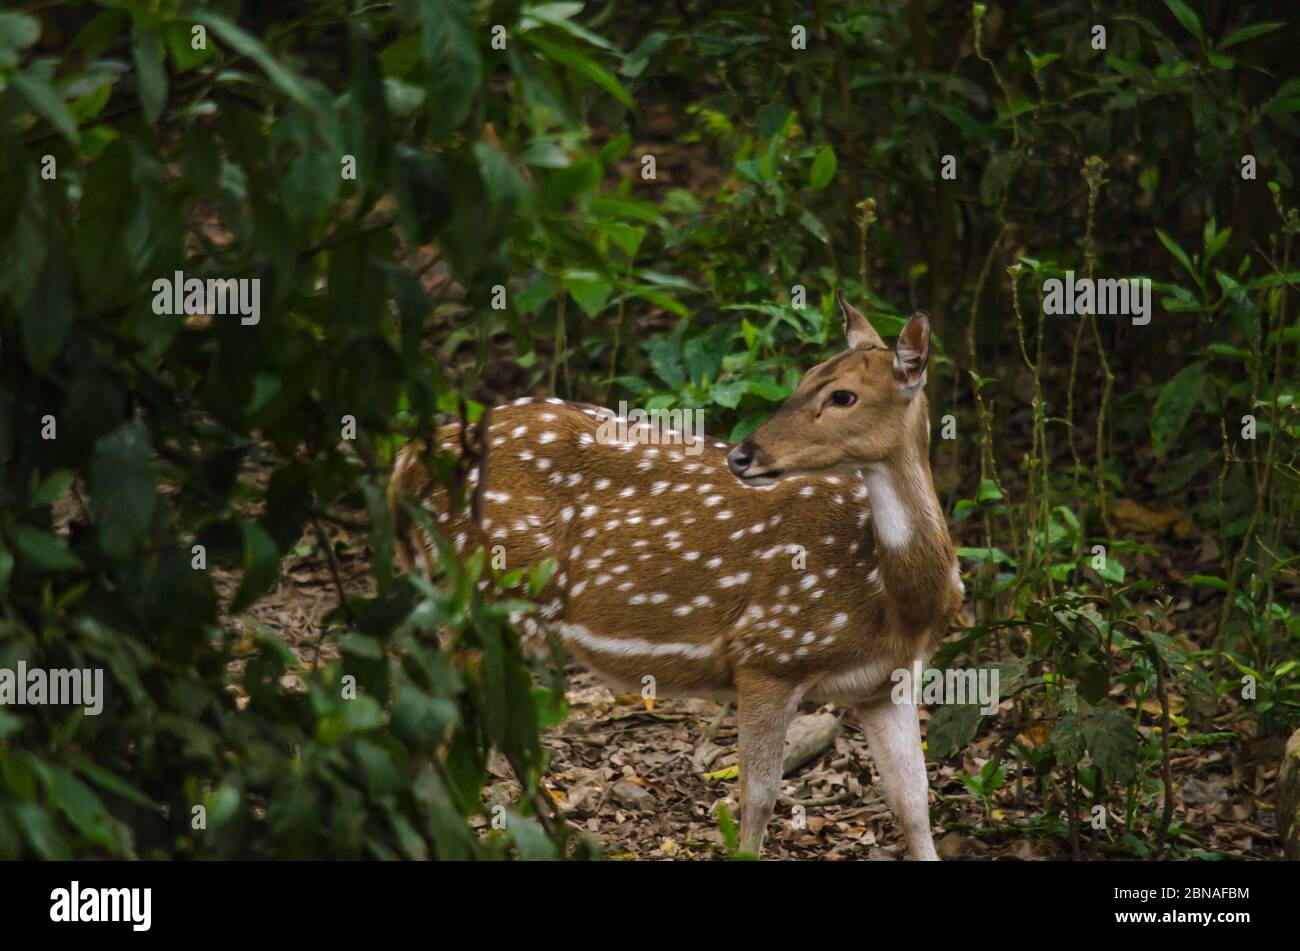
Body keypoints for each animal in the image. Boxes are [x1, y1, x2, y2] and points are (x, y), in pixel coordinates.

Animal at [387, 288, 962, 859]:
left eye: (842, 395)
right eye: (804, 378)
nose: (742, 455)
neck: (890, 600)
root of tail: (406, 463)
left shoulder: (887, 684)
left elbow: (914, 804)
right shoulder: (768, 653)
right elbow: (758, 801)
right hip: (482, 594)